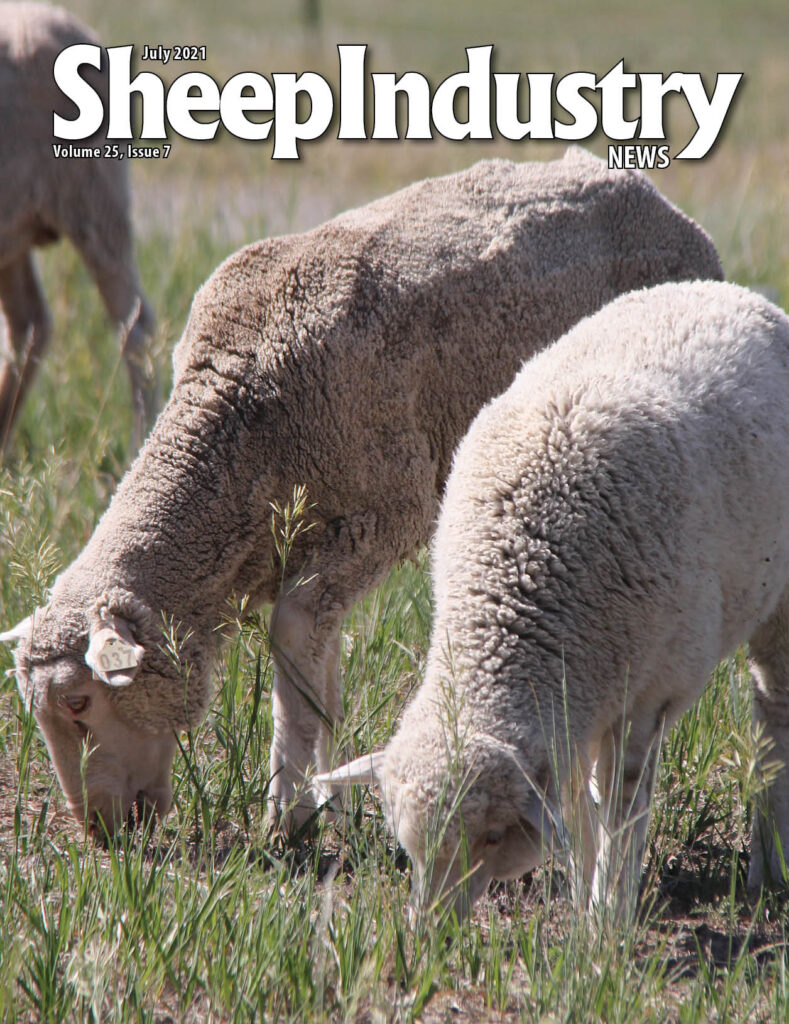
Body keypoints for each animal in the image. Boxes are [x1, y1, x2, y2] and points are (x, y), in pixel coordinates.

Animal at [0, 147, 723, 838]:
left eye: (79, 702)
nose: (103, 835)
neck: (239, 425)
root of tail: (655, 200)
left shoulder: (381, 516)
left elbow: (294, 658)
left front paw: (288, 819)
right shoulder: (306, 549)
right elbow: (323, 680)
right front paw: (328, 801)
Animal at [319, 280, 789, 919]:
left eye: (493, 837)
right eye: (406, 842)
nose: (432, 931)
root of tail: (731, 290)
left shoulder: (649, 697)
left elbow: (621, 812)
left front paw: (608, 915)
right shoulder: (573, 704)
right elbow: (576, 813)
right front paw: (585, 896)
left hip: (779, 600)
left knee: (773, 712)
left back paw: (769, 866)